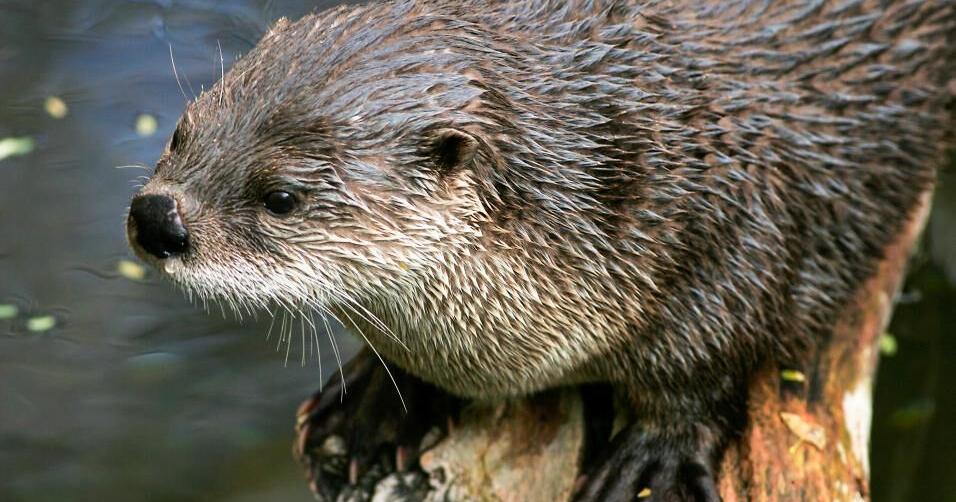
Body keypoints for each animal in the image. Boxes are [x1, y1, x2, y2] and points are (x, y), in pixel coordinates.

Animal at [126, 0, 956, 500]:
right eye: (182, 130)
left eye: (281, 196)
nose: (156, 217)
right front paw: (378, 402)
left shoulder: (738, 227)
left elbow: (711, 359)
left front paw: (655, 459)